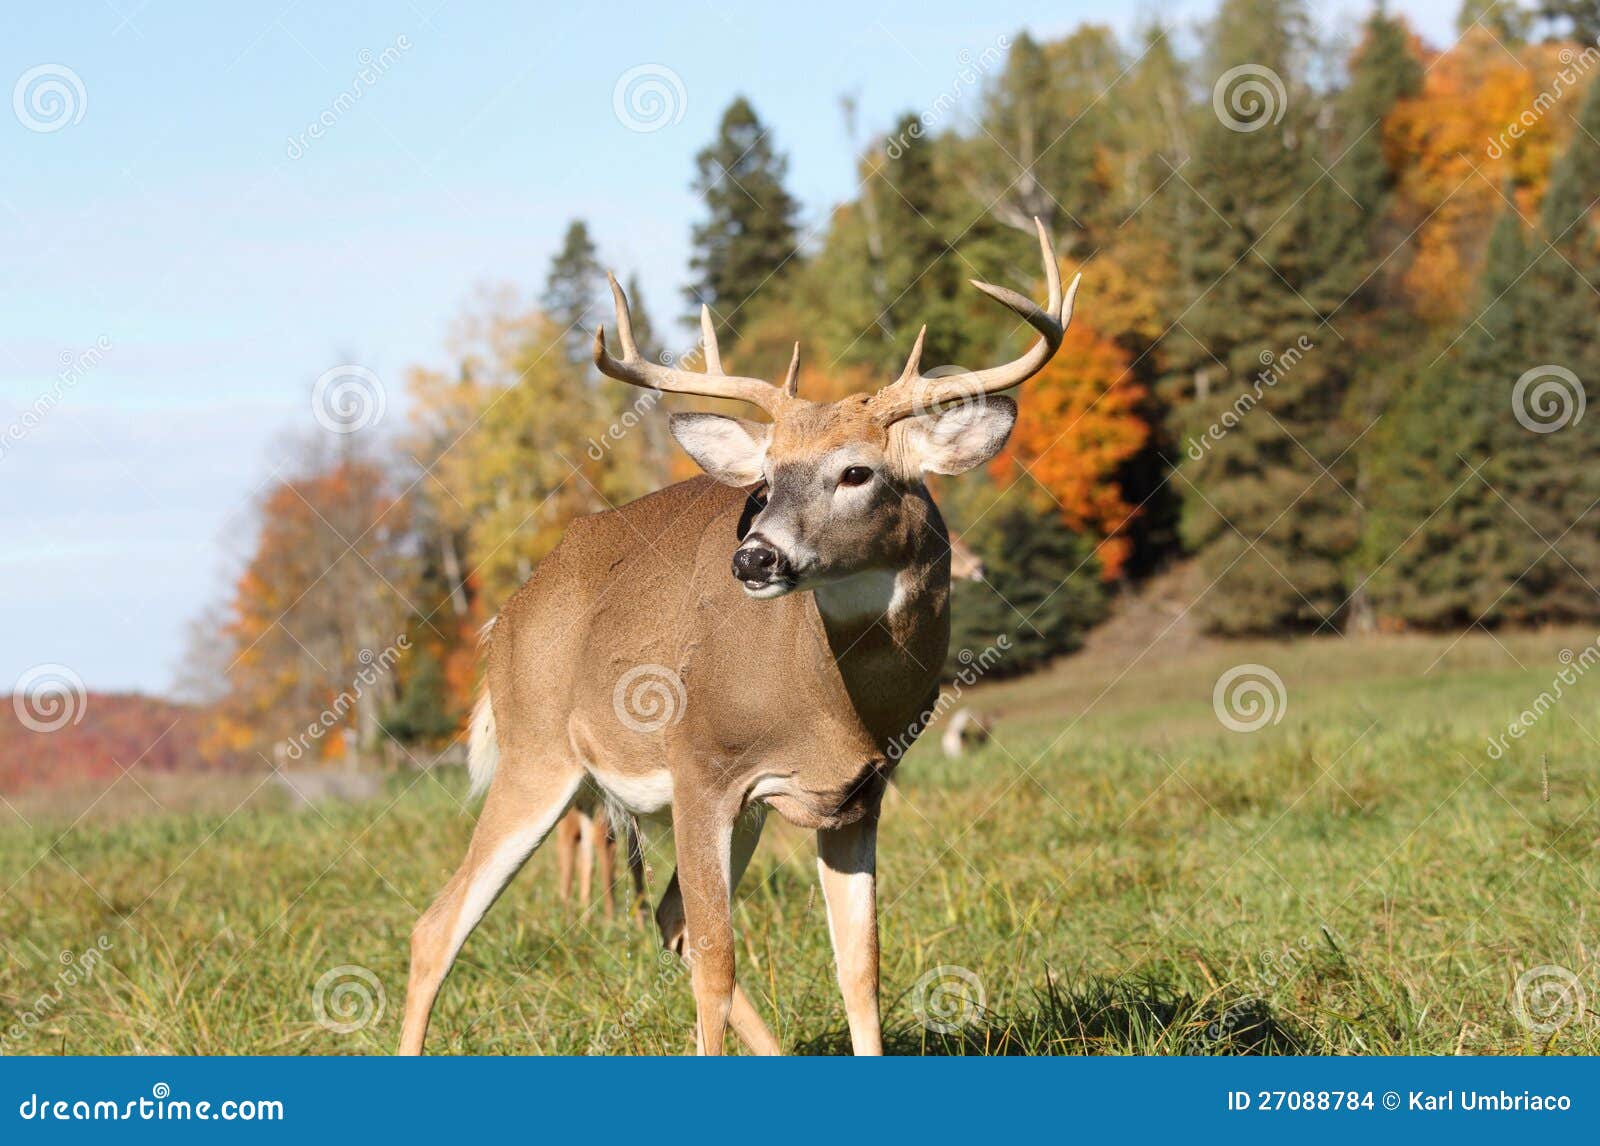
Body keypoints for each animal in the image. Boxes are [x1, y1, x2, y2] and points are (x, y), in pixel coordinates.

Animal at [398, 219, 1078, 1056]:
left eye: (857, 472)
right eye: (768, 477)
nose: (753, 556)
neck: (832, 700)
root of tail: (506, 613)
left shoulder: (858, 795)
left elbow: (860, 967)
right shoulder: (701, 767)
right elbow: (718, 966)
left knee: (665, 919)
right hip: (538, 752)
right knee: (438, 927)